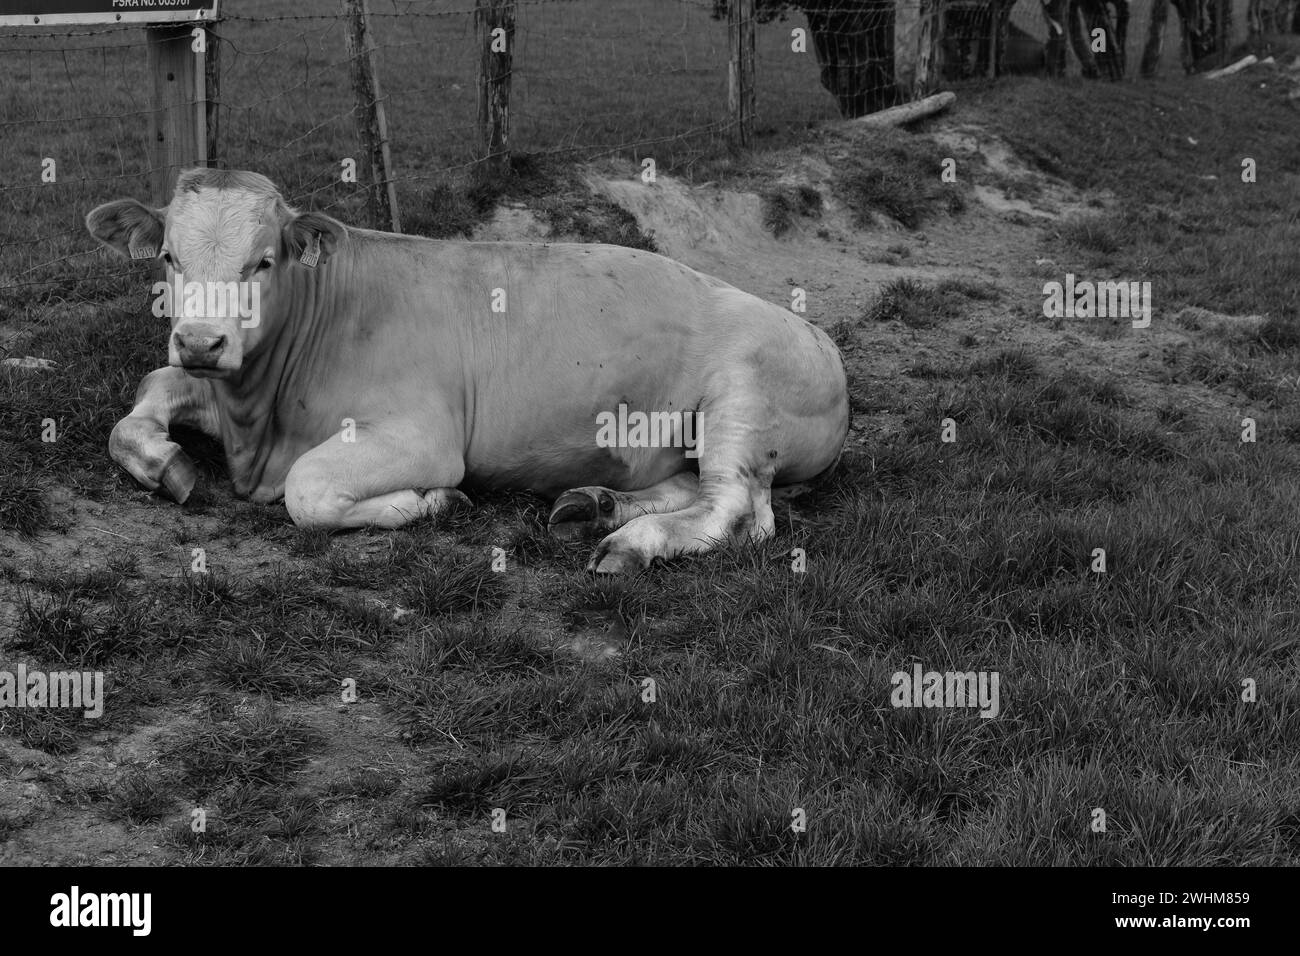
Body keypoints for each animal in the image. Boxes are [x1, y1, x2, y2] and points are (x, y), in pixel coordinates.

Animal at [85, 169, 849, 573]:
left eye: (263, 261)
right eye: (170, 257)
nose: (201, 341)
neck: (259, 422)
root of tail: (818, 335)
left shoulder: (422, 436)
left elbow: (310, 490)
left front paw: (432, 503)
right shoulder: (214, 384)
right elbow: (144, 397)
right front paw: (164, 461)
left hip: (739, 403)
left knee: (738, 509)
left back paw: (631, 542)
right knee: (689, 488)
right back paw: (592, 504)